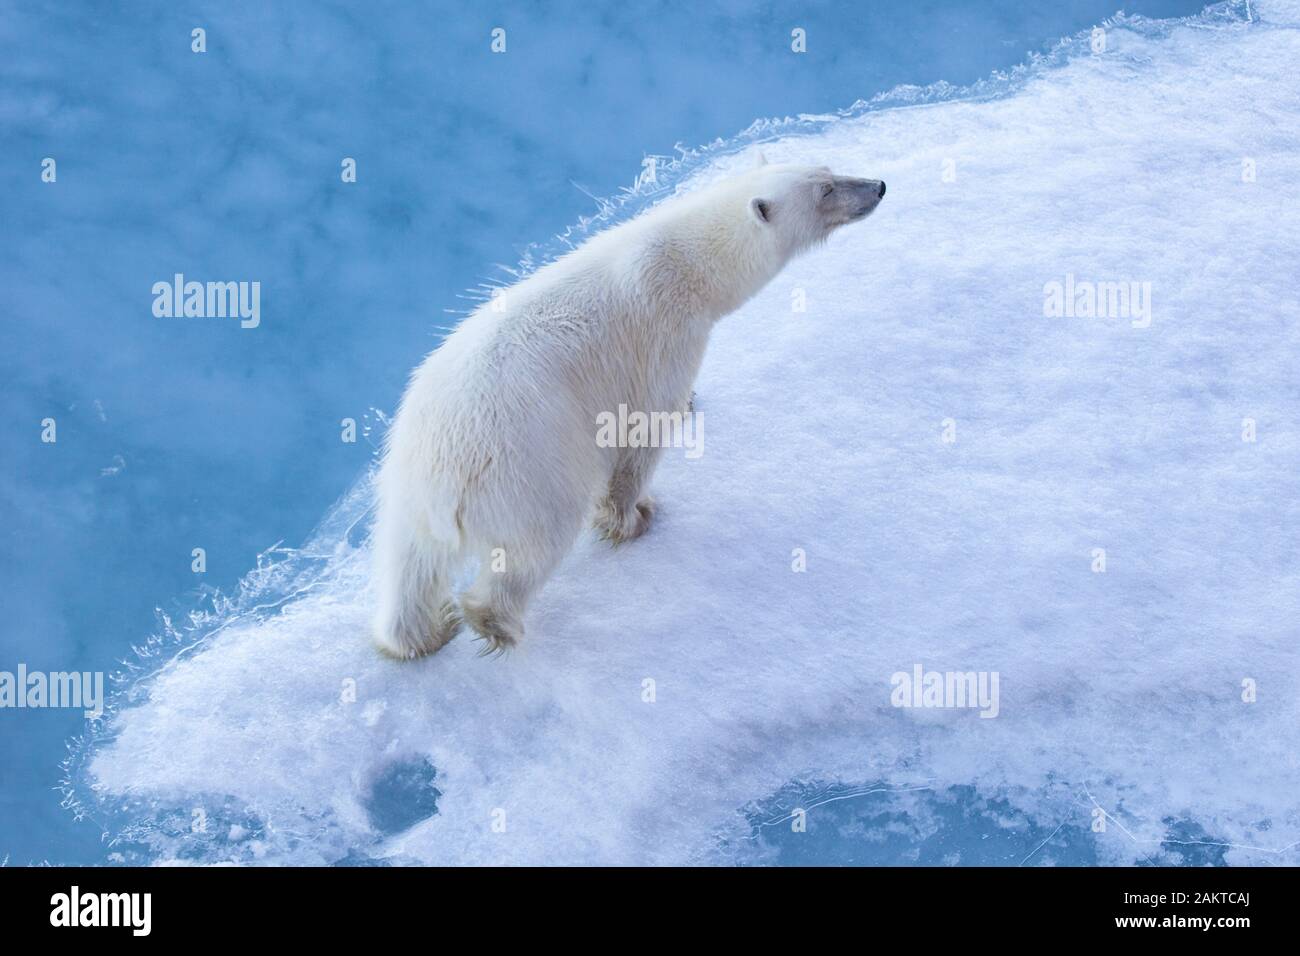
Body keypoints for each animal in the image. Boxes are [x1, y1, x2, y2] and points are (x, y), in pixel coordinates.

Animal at [372, 161, 886, 658]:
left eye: (829, 169)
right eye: (825, 190)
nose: (878, 186)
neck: (688, 266)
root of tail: (442, 480)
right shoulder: (663, 338)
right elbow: (643, 427)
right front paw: (634, 515)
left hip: (405, 487)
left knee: (409, 567)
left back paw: (420, 637)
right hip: (527, 474)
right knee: (537, 542)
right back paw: (496, 622)